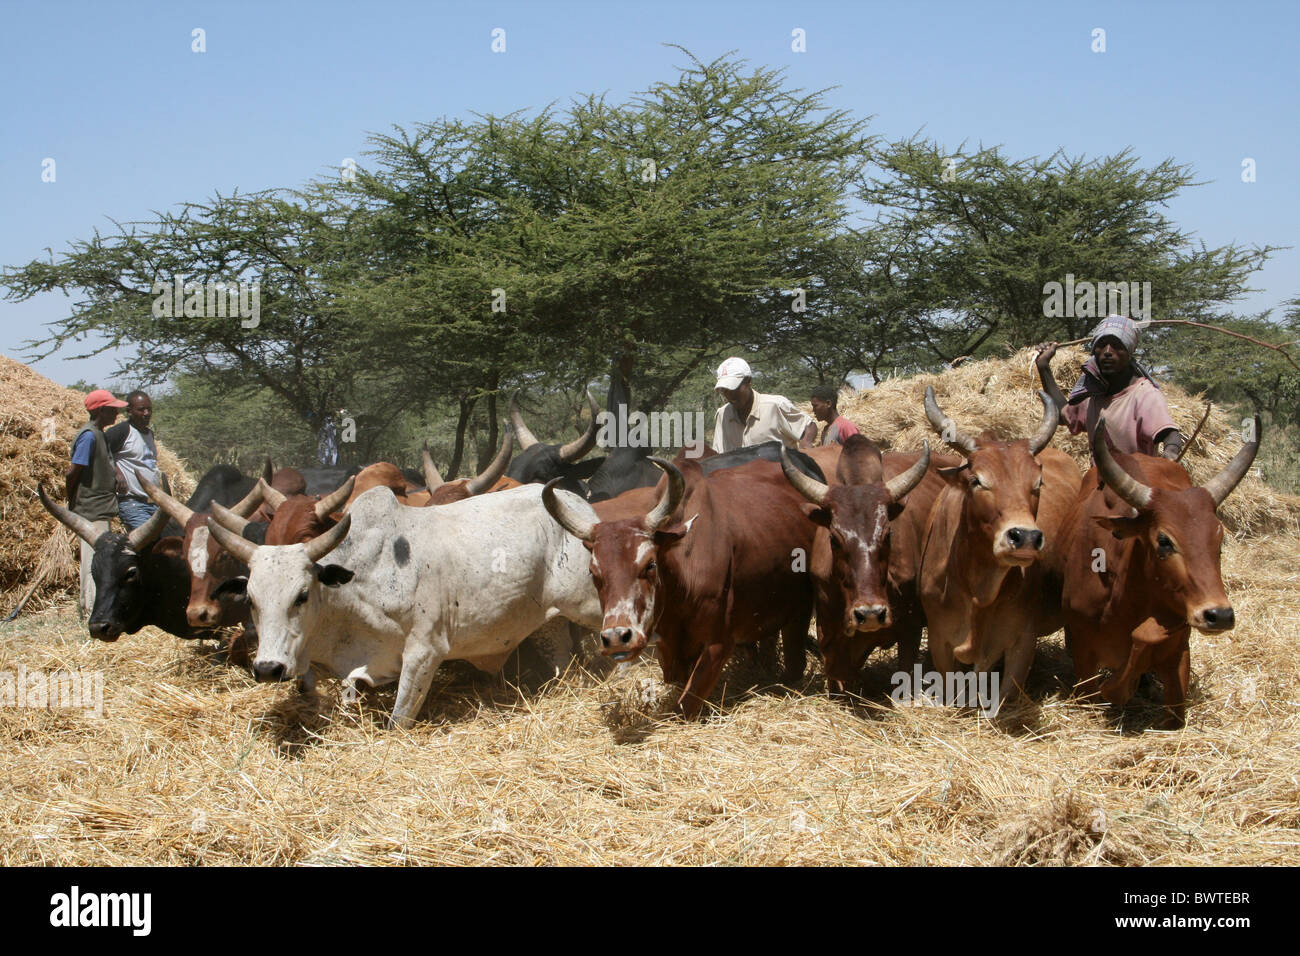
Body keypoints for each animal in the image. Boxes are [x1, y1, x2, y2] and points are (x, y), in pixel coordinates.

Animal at [204, 483, 604, 728]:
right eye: (251, 599)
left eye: (302, 595)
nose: (268, 668)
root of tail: (579, 506)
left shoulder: (425, 650)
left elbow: (399, 720)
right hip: (551, 621)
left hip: (592, 606)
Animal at [542, 456, 819, 718]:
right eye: (593, 572)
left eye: (650, 564)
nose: (617, 637)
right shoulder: (669, 646)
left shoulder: (718, 645)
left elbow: (685, 707)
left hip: (800, 611)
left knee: (795, 662)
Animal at [917, 387, 1081, 712]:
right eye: (976, 480)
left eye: (1037, 483)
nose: (1025, 537)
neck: (975, 588)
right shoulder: (939, 638)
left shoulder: (1021, 640)